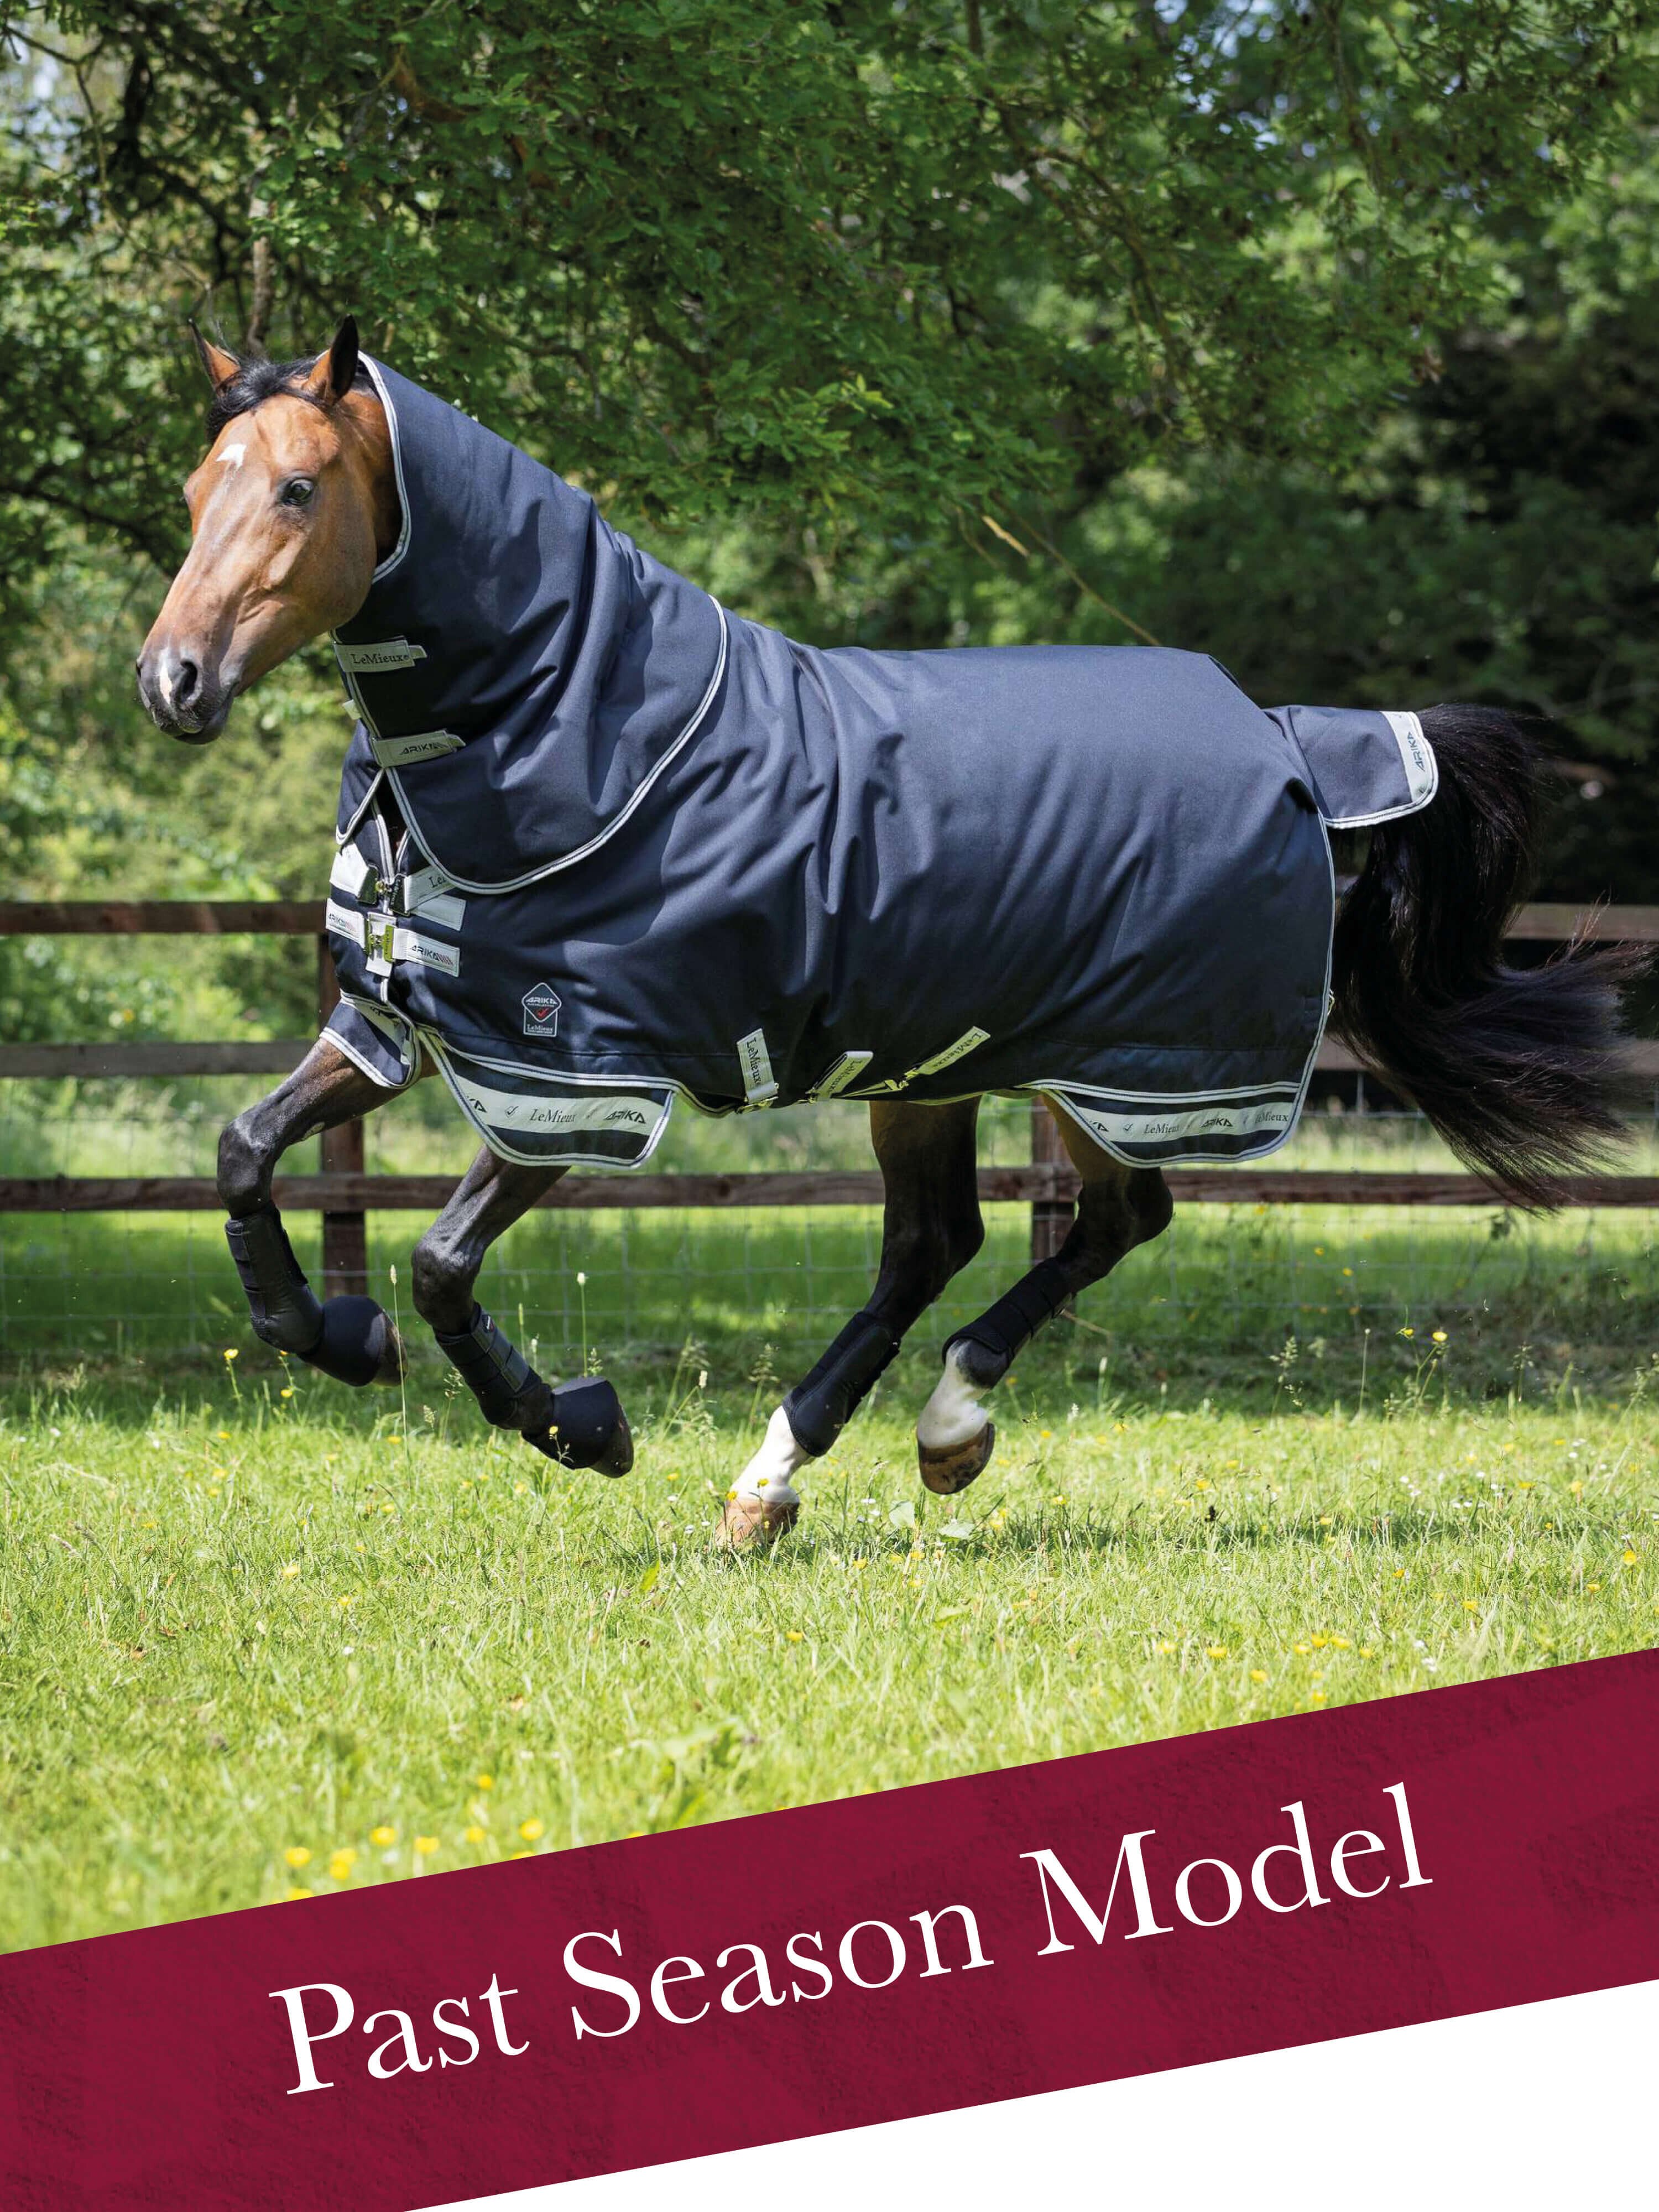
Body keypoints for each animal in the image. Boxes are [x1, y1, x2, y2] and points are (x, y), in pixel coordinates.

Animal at [137, 318, 1644, 1545]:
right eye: (198, 489)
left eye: (297, 487)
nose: (173, 682)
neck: (580, 735)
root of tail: (1286, 735)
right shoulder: (399, 1023)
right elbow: (242, 1152)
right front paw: (338, 1336)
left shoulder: (578, 1081)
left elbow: (443, 1264)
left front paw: (581, 1424)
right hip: (937, 1063)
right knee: (947, 1241)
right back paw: (797, 1479)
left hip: (1124, 1066)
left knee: (1106, 1220)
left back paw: (918, 1433)